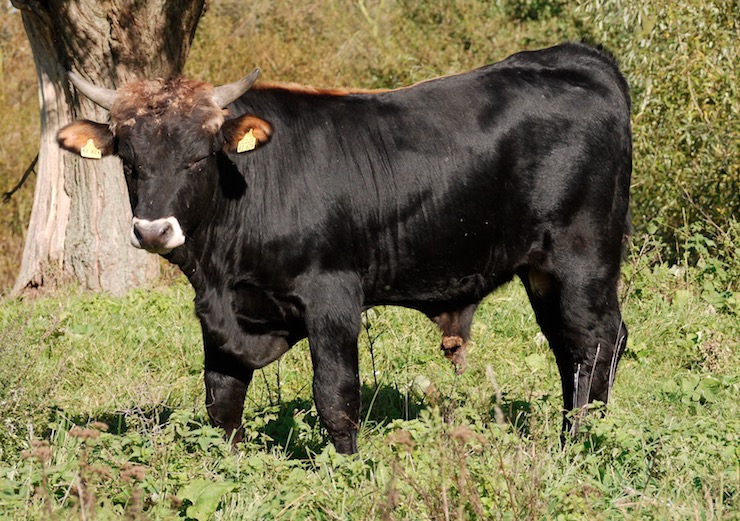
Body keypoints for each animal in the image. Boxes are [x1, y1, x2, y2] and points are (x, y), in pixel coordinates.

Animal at [58, 43, 631, 454]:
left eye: (198, 156)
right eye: (128, 159)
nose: (153, 230)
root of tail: (576, 57)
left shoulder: (332, 297)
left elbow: (335, 397)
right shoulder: (218, 313)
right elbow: (222, 401)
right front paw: (228, 468)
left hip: (584, 258)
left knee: (595, 343)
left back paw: (581, 443)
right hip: (542, 272)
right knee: (567, 347)